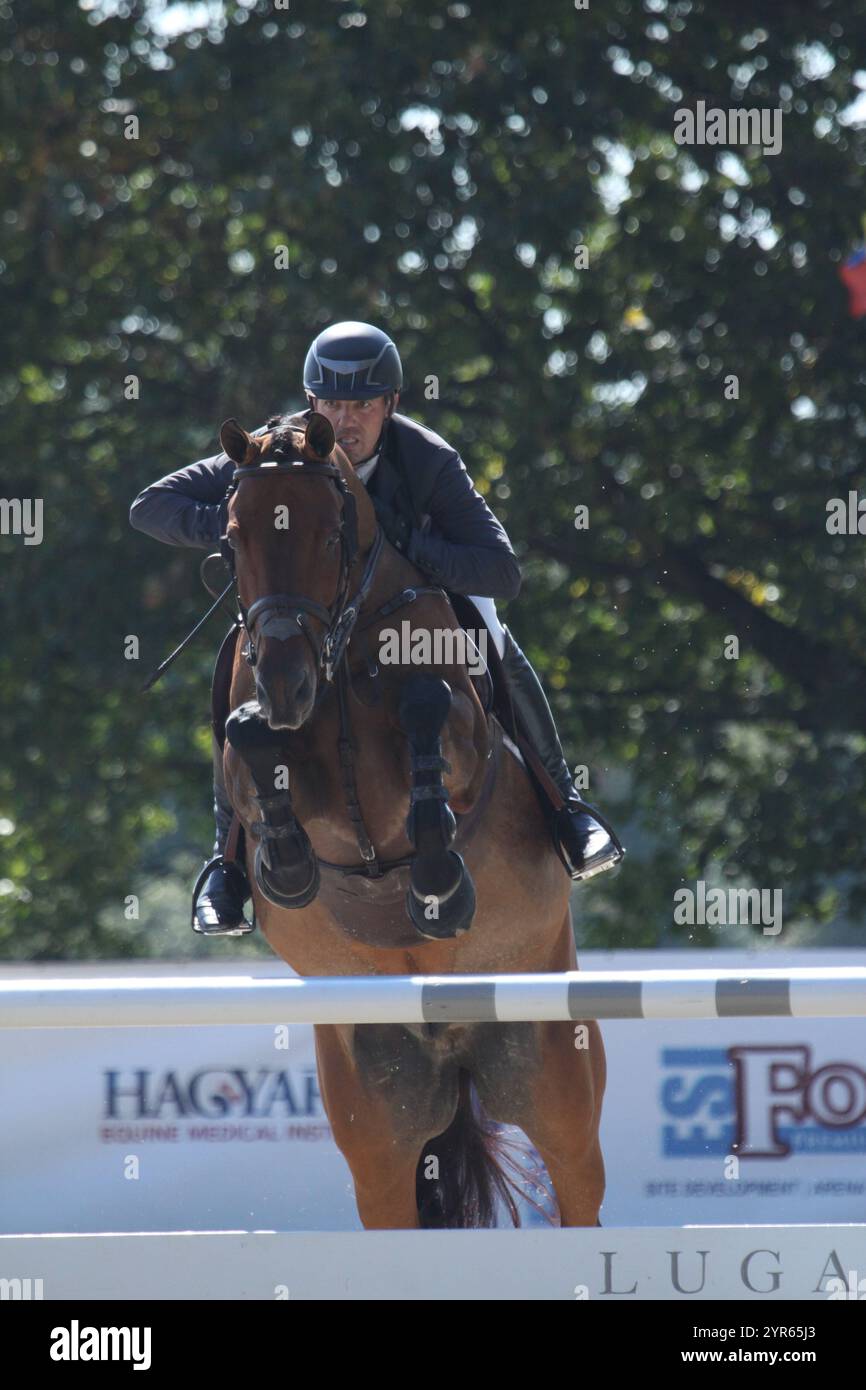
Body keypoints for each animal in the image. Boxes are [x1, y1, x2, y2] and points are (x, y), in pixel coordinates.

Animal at [217, 410, 606, 1229]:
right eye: (233, 536)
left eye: (331, 534)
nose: (287, 683)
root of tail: (450, 1036)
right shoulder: (263, 751)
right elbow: (248, 738)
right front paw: (286, 865)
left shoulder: (462, 743)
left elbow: (427, 706)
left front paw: (438, 882)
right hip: (379, 1123)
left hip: (554, 1076)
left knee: (576, 1182)